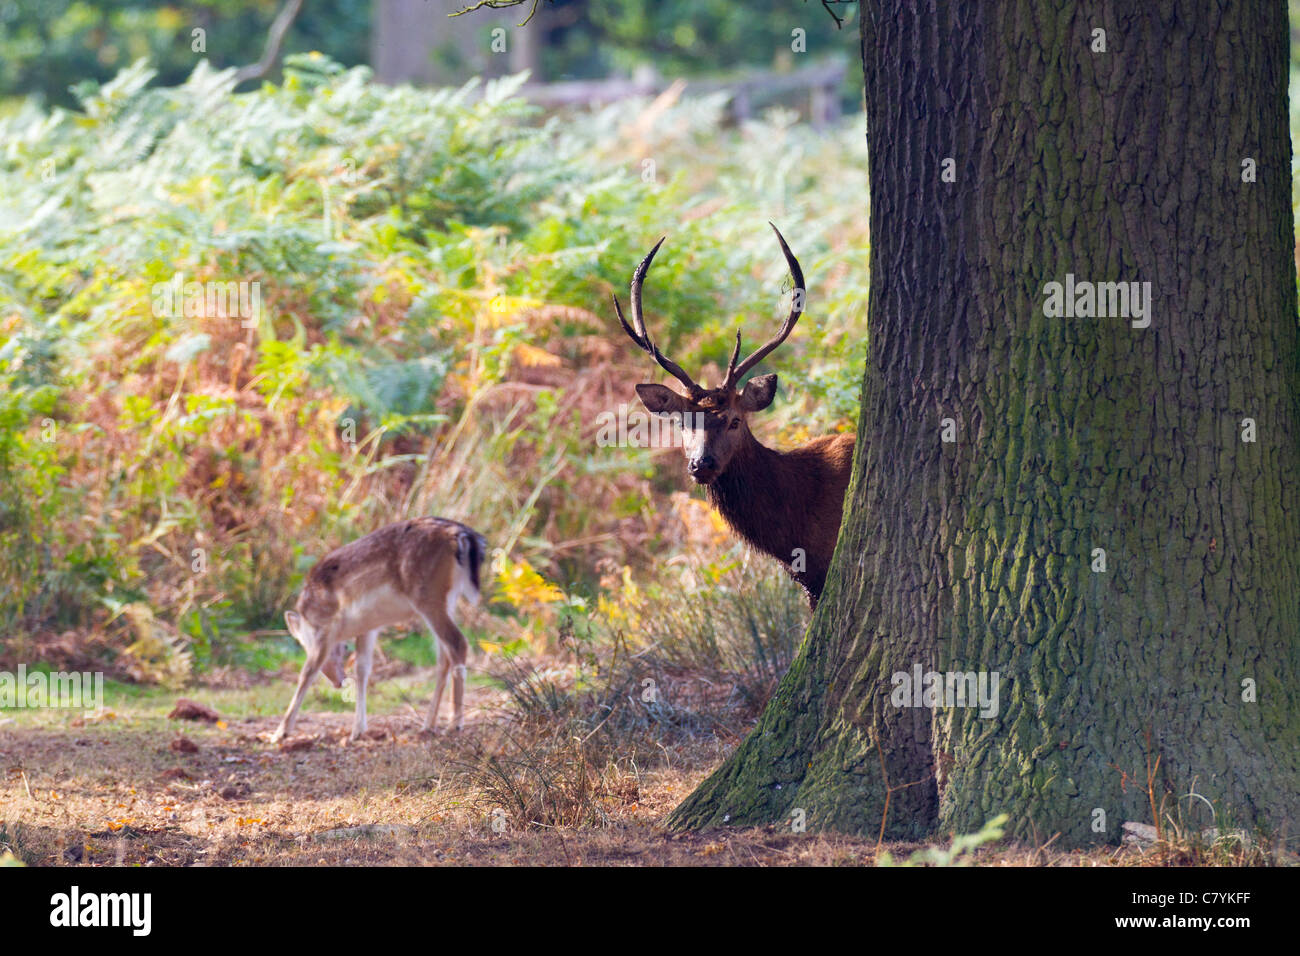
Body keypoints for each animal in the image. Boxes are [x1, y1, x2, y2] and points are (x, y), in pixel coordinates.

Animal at [270, 516, 487, 744]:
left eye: (304, 646)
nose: (338, 681)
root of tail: (464, 535)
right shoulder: (368, 626)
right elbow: (362, 669)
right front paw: (358, 731)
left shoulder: (323, 628)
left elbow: (307, 673)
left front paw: (279, 733)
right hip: (448, 600)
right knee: (443, 657)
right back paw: (428, 725)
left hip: (428, 597)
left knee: (458, 643)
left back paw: (454, 725)